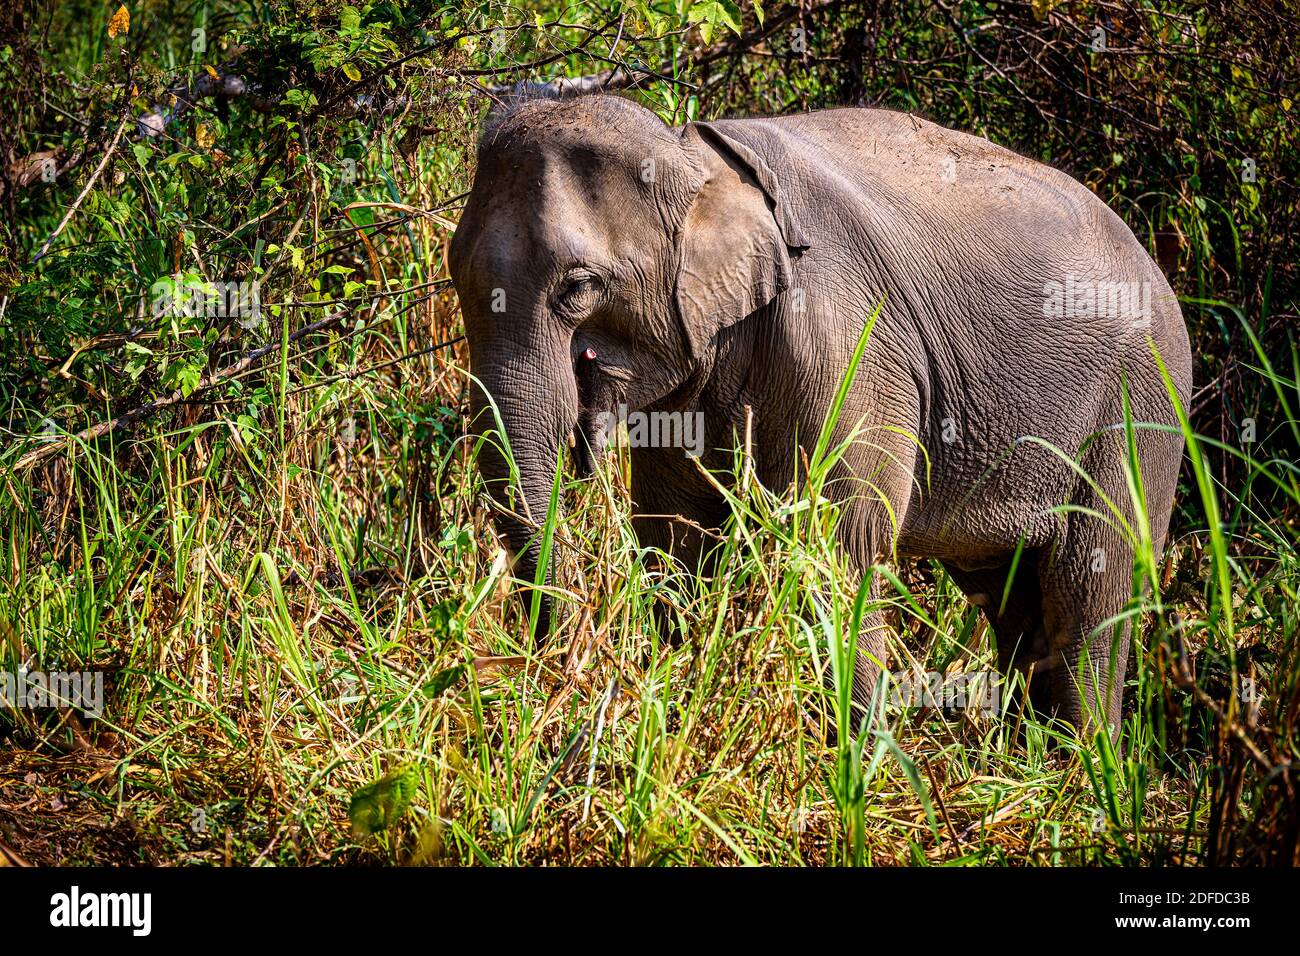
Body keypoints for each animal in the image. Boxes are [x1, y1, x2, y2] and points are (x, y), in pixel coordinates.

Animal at [448, 93, 1192, 737]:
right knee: (1008, 594)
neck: (691, 159)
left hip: (1140, 409)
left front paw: (862, 765)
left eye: (577, 287)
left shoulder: (844, 344)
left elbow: (839, 543)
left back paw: (1081, 773)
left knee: (1090, 587)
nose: (564, 679)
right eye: (454, 274)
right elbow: (675, 537)